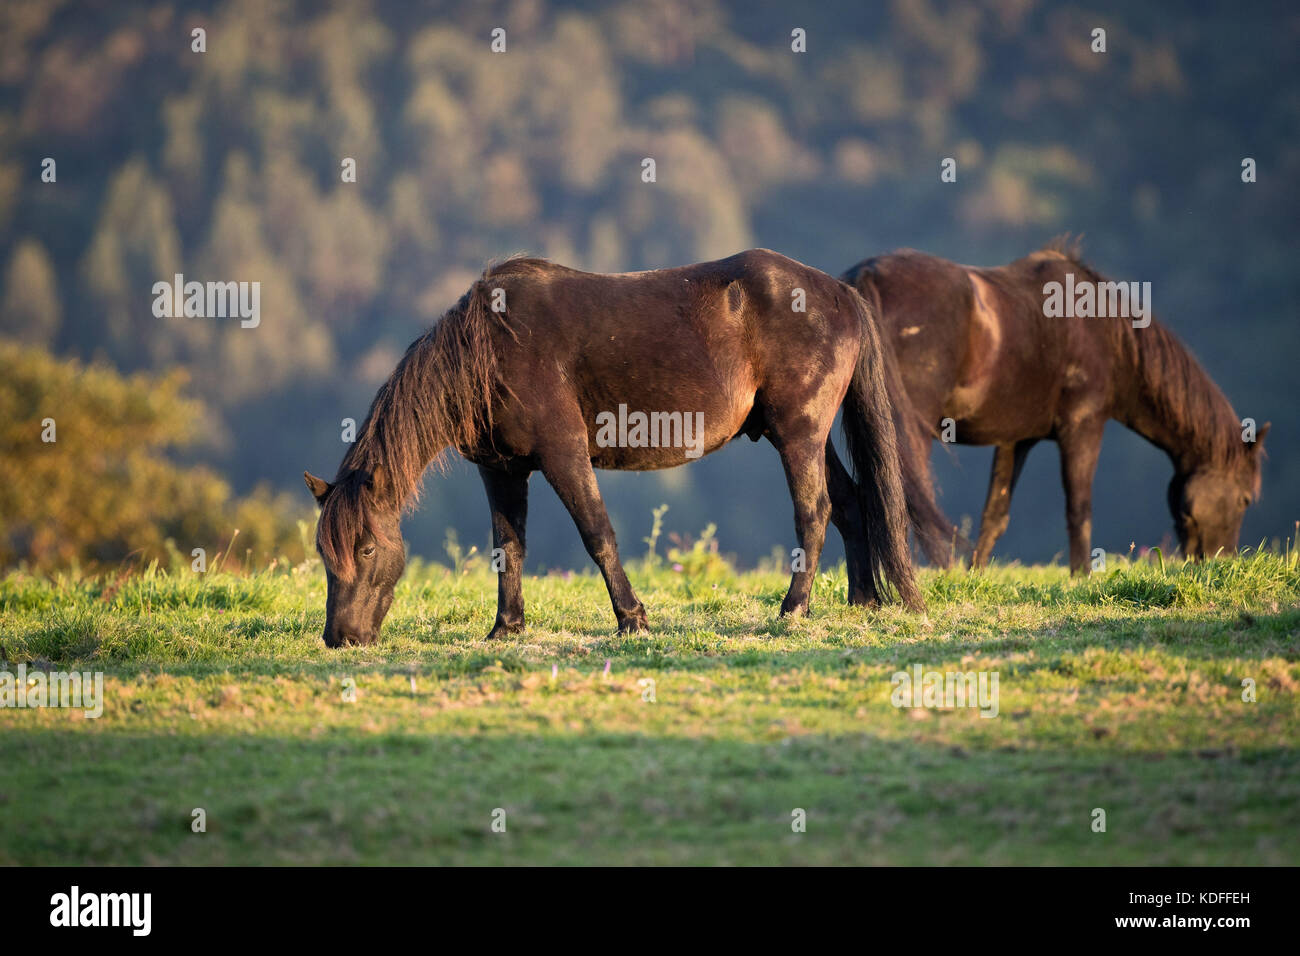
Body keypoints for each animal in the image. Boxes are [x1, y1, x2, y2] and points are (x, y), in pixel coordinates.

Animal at [303, 249, 936, 647]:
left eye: (365, 548)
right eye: (323, 553)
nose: (341, 639)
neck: (494, 345)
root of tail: (840, 292)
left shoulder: (564, 456)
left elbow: (597, 535)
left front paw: (632, 619)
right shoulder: (501, 471)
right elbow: (509, 548)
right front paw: (506, 628)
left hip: (800, 436)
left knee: (815, 512)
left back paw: (793, 609)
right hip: (803, 435)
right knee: (851, 505)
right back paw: (863, 602)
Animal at [841, 239, 1267, 573]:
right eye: (1245, 499)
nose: (1220, 564)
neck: (1106, 334)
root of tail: (868, 276)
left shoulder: (1016, 439)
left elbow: (994, 516)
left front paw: (975, 576)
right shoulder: (1083, 427)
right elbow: (1079, 509)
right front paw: (1082, 577)